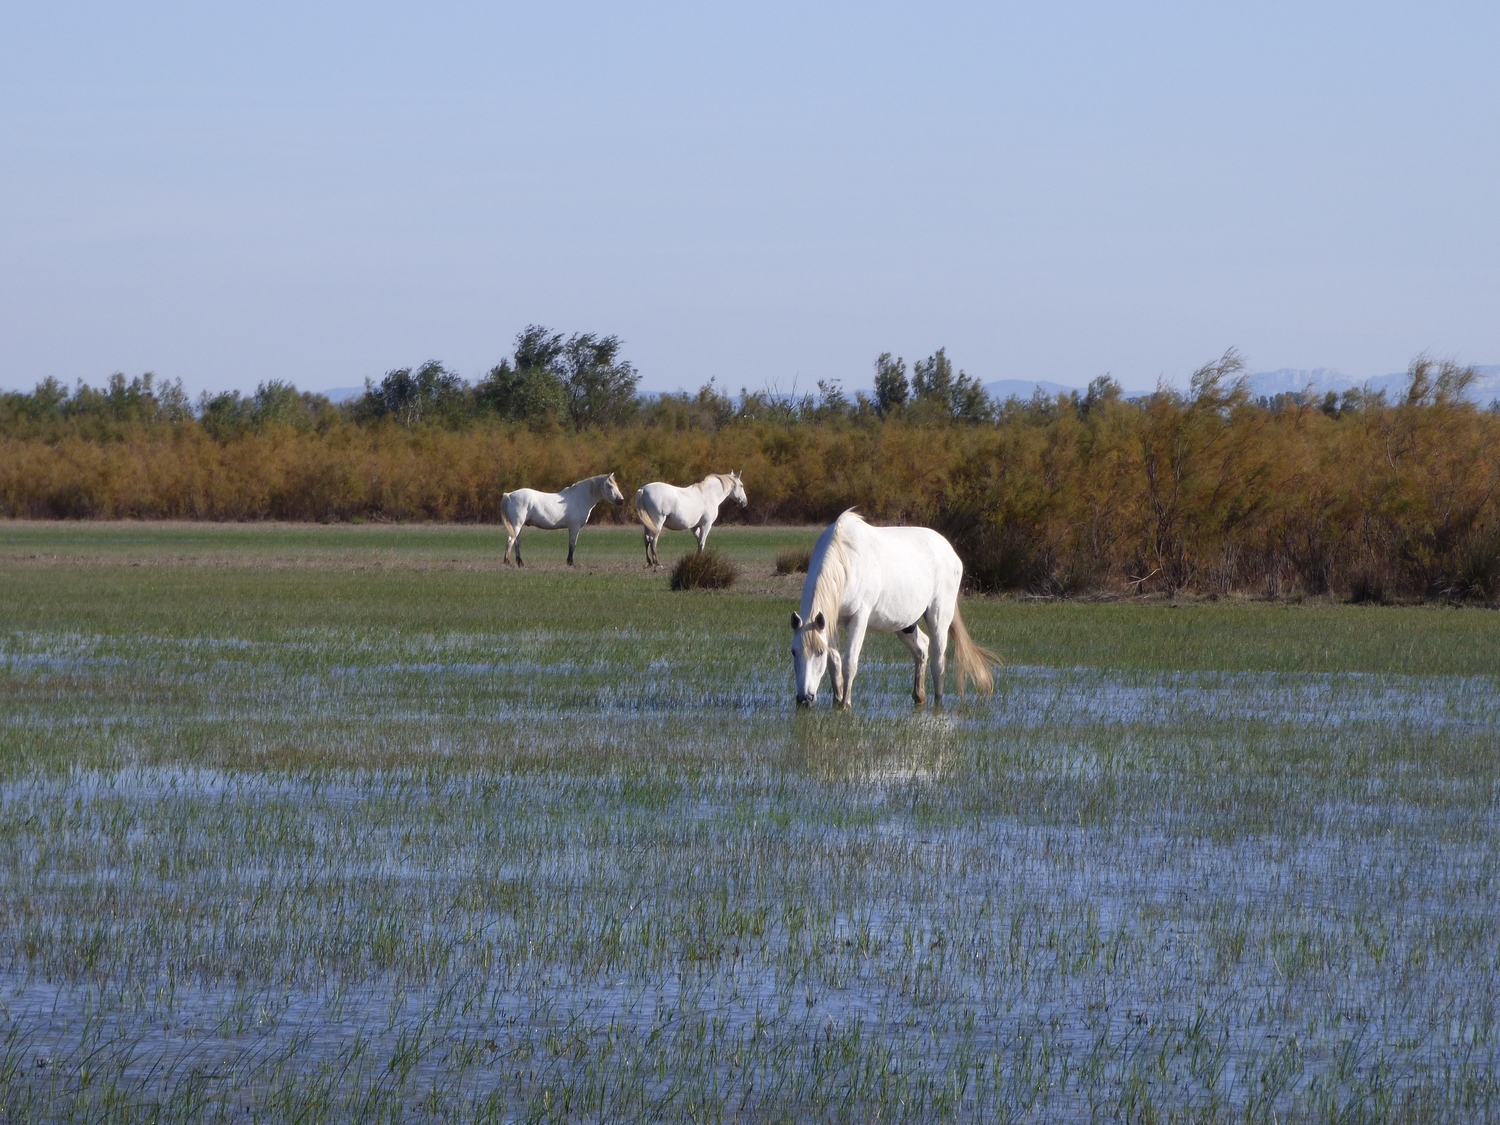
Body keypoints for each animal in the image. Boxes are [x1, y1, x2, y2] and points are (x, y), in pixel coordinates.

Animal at [789, 510, 1000, 709]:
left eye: (819, 652)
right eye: (793, 652)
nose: (804, 699)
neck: (847, 560)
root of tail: (950, 551)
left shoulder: (859, 619)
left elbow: (850, 662)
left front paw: (846, 704)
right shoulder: (830, 621)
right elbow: (835, 662)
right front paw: (837, 701)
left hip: (939, 617)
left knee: (938, 662)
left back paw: (938, 704)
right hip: (906, 624)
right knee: (922, 647)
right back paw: (919, 696)